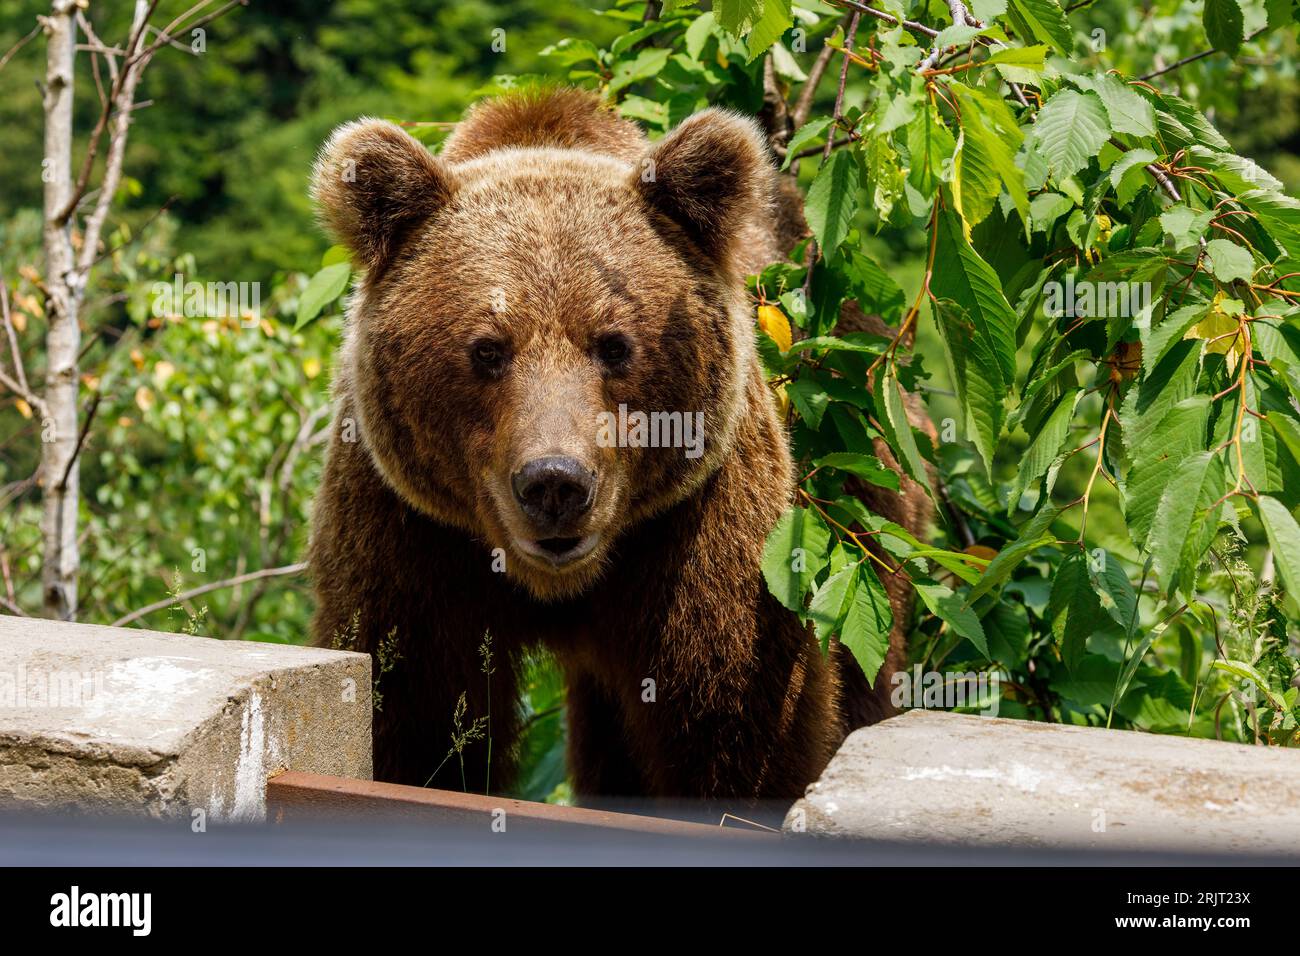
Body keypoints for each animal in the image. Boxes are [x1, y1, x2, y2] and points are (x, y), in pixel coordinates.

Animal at [307, 88, 931, 814]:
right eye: (488, 349)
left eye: (614, 344)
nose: (554, 483)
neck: (562, 585)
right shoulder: (408, 532)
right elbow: (415, 714)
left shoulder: (700, 528)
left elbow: (733, 719)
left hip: (863, 487)